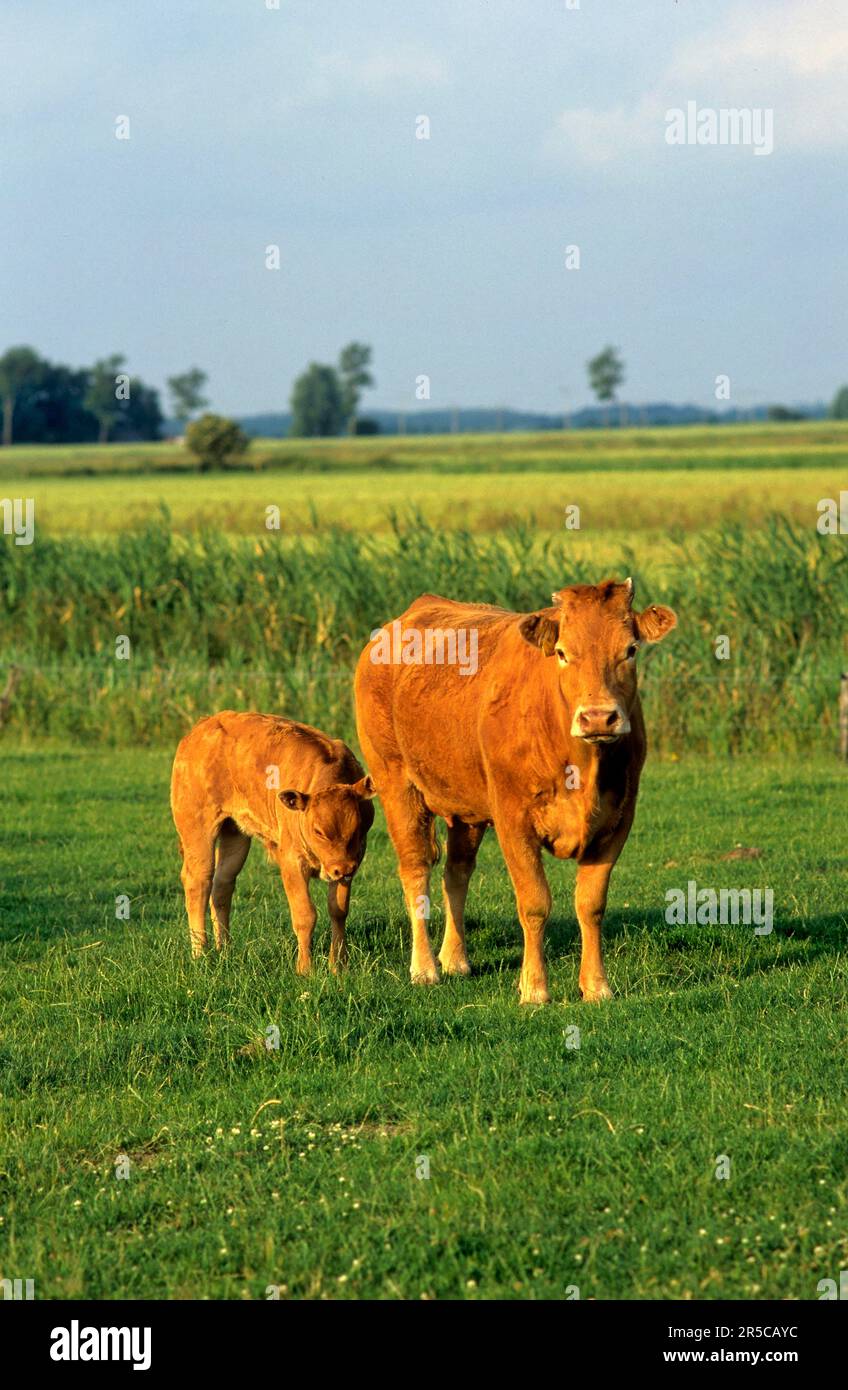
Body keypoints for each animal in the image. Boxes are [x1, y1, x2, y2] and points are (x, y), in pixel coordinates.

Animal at [170, 711, 376, 969]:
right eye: (318, 831)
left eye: (357, 825)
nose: (342, 868)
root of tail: (202, 726)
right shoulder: (292, 862)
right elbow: (305, 915)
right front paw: (305, 969)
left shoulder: (352, 860)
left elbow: (338, 910)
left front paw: (339, 966)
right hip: (198, 833)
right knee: (199, 882)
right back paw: (200, 953)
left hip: (234, 835)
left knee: (222, 885)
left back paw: (224, 949)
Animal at [354, 579, 676, 1004]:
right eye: (562, 653)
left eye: (630, 650)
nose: (598, 718)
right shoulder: (513, 819)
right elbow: (535, 903)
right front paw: (534, 988)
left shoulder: (616, 822)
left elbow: (591, 905)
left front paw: (596, 986)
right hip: (396, 783)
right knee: (415, 870)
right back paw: (424, 968)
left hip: (467, 809)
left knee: (456, 874)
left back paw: (455, 959)